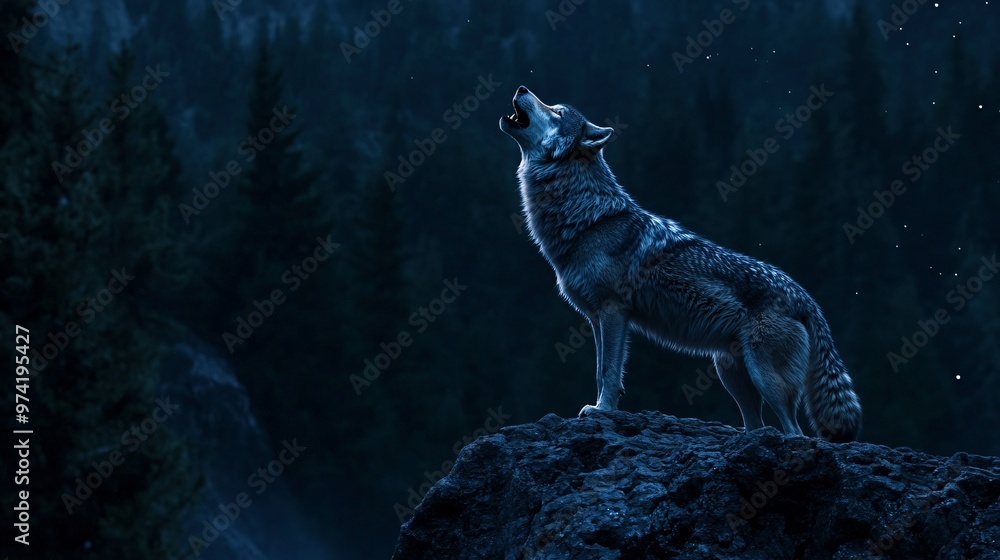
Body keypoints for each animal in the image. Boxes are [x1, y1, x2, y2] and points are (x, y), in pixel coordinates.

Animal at [500, 86, 862, 442]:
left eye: (557, 112)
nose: (521, 87)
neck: (587, 218)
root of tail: (805, 297)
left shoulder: (613, 312)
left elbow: (608, 373)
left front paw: (602, 411)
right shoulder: (595, 318)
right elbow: (601, 369)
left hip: (764, 378)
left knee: (795, 432)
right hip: (730, 373)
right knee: (758, 425)